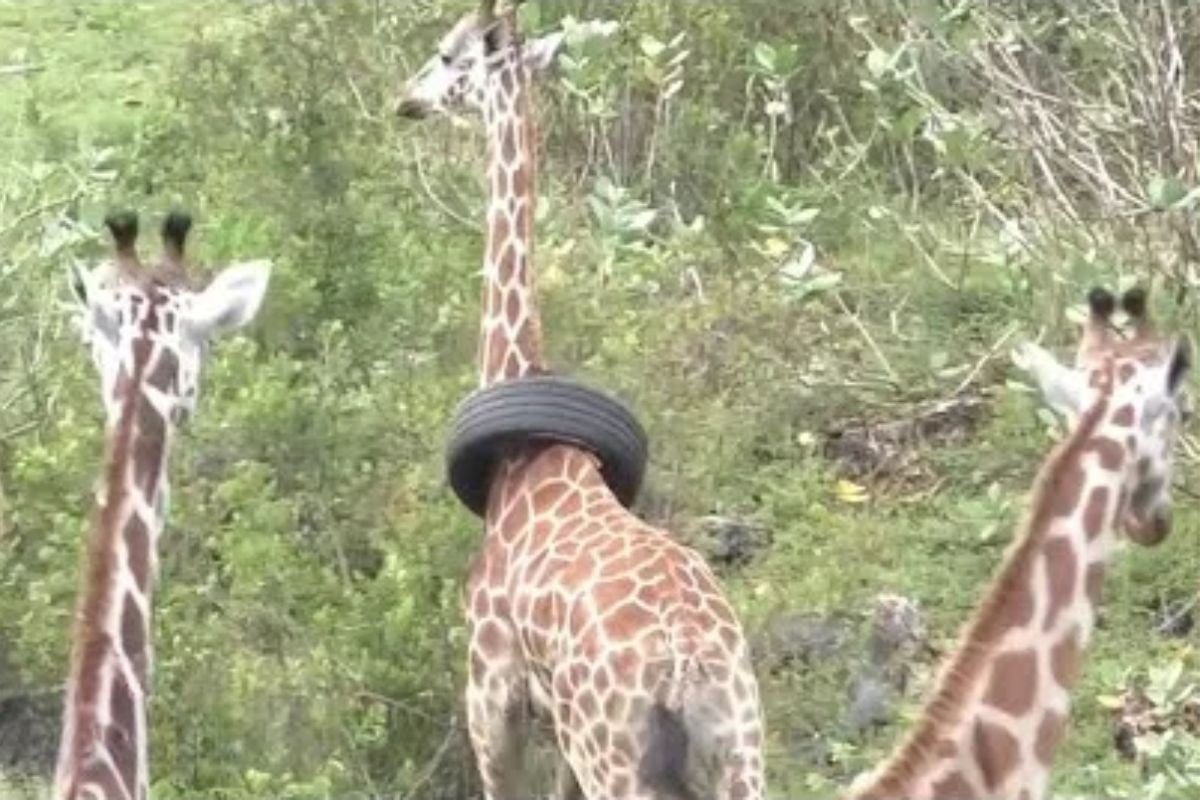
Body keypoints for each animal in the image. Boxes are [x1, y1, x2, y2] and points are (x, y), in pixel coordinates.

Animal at [396, 3, 765, 798]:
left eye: (447, 55)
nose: (405, 100)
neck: (520, 460)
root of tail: (688, 666)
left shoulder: (492, 691)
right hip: (738, 753)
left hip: (613, 753)